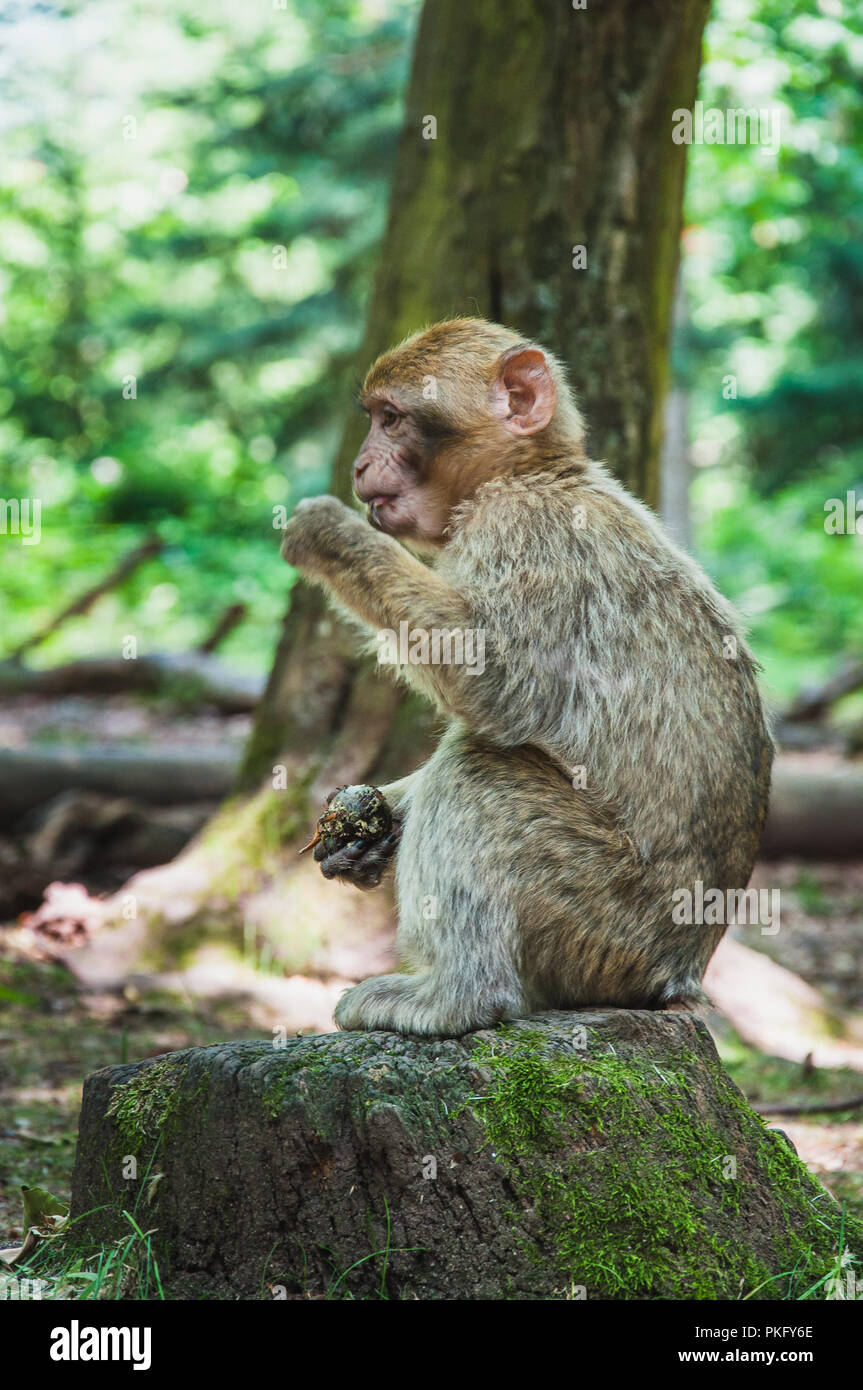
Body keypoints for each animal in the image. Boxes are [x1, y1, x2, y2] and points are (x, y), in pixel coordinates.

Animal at [280, 317, 773, 1037]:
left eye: (391, 418)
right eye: (373, 418)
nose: (358, 465)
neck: (533, 472)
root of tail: (677, 975)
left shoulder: (521, 528)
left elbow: (497, 681)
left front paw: (330, 536)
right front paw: (366, 832)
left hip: (604, 925)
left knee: (482, 769)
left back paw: (458, 996)